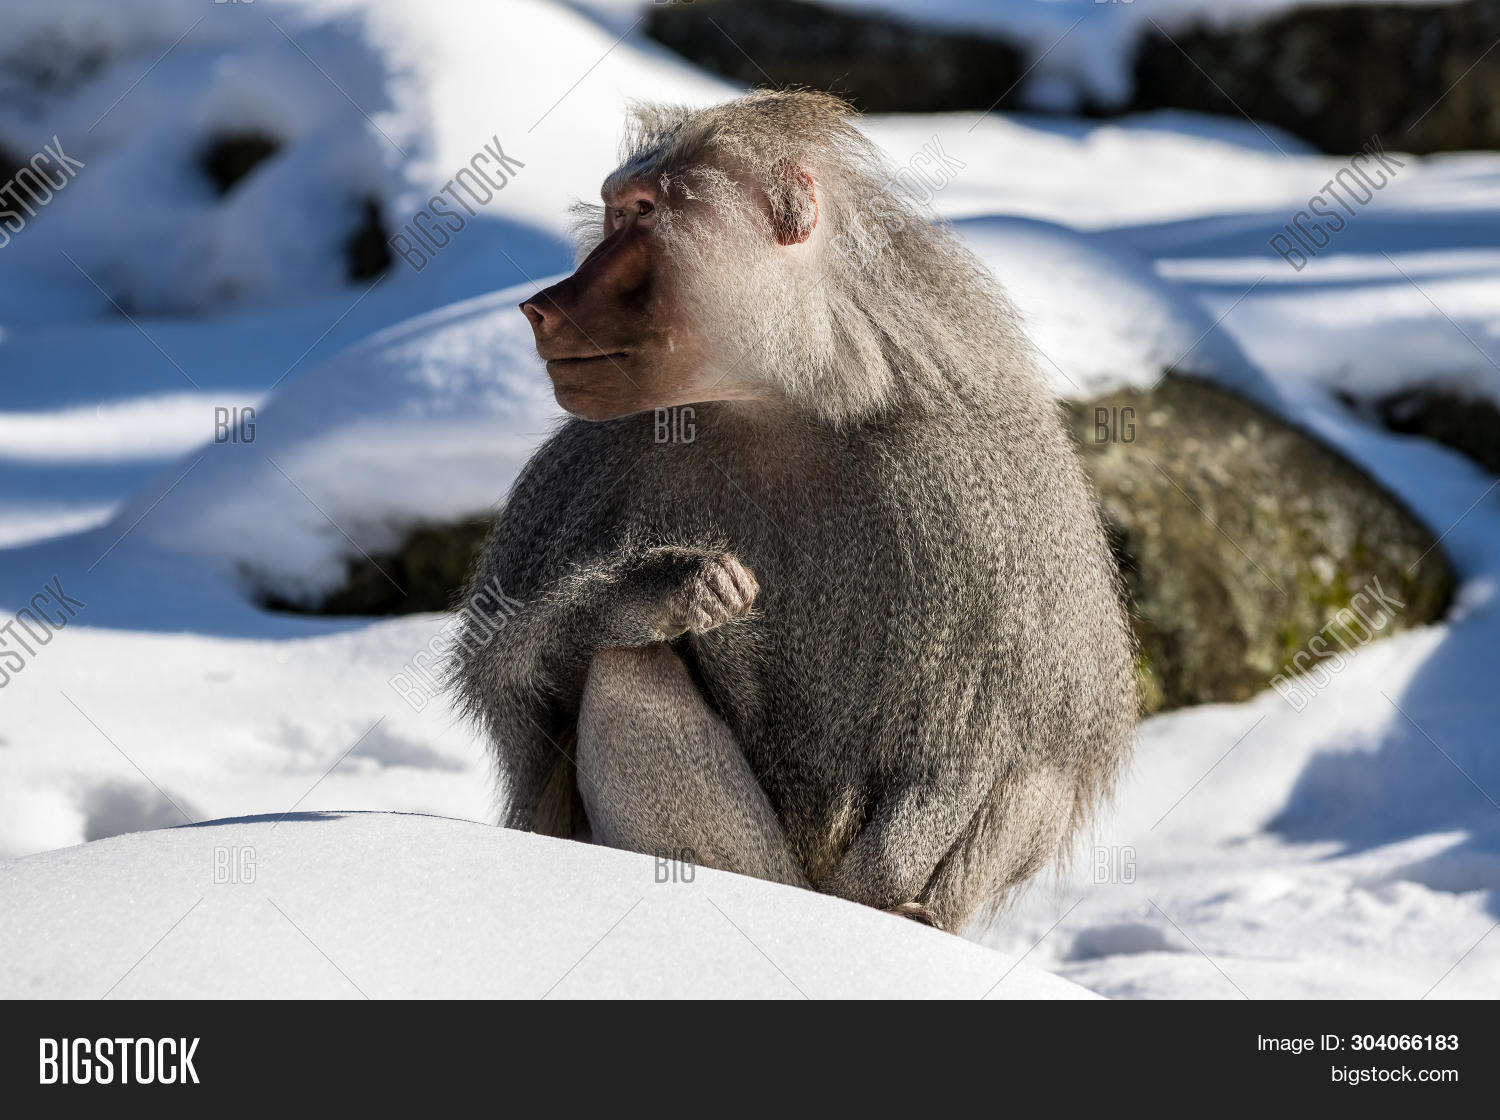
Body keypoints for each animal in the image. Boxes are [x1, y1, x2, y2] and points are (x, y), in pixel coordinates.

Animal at [451, 90, 1136, 933]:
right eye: (614, 214)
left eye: (643, 212)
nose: (540, 307)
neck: (777, 403)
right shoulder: (586, 467)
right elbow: (517, 686)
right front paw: (666, 587)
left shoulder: (983, 481)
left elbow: (1013, 733)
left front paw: (899, 890)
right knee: (628, 668)